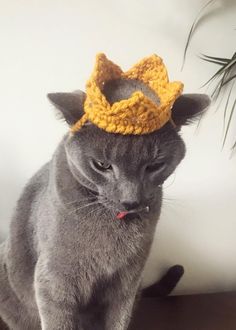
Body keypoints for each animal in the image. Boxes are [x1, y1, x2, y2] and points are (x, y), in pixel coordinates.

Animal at [0, 77, 210, 330]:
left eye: (154, 165)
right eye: (102, 165)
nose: (130, 200)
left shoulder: (127, 281)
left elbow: (118, 320)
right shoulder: (54, 281)